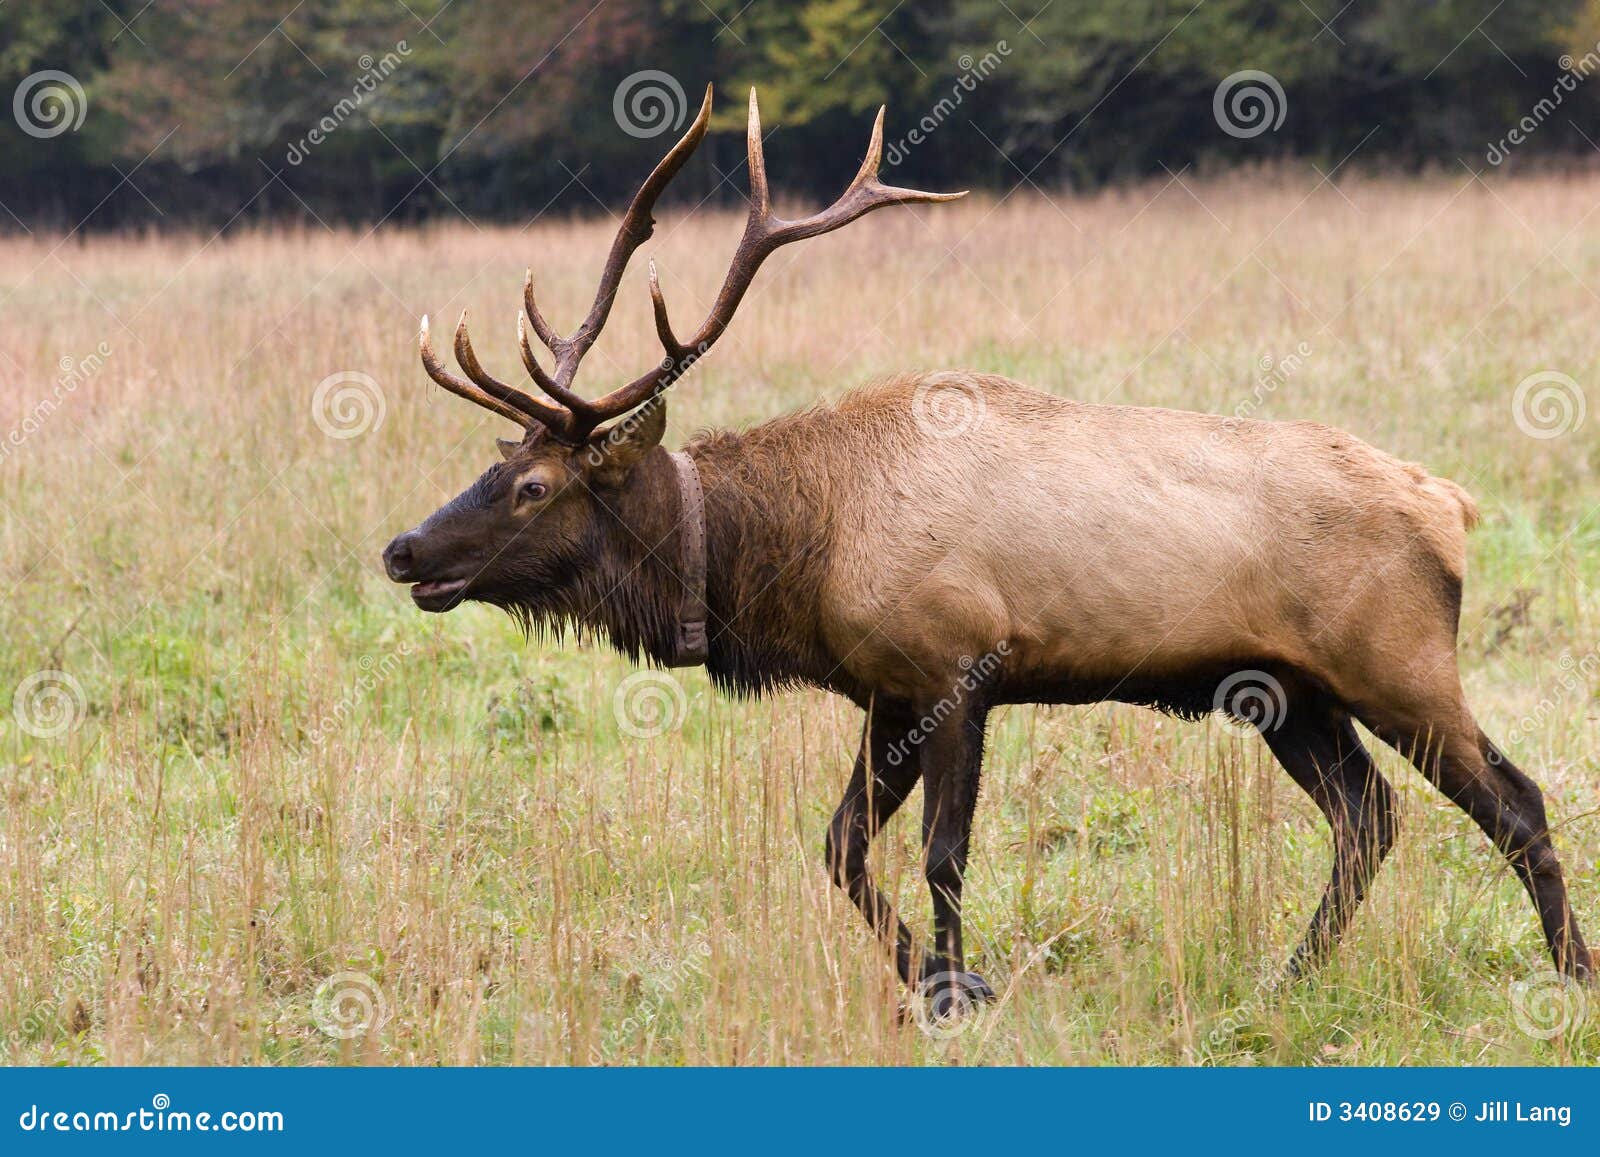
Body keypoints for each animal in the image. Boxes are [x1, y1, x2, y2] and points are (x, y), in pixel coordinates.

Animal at [382, 85, 1593, 1020]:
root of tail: (1451, 502)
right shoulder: (883, 690)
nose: (401, 549)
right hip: (1287, 690)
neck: (797, 556)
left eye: (533, 485)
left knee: (1515, 799)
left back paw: (1567, 976)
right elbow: (839, 847)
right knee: (1367, 817)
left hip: (1396, 661)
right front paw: (935, 980)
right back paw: (1283, 981)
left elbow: (941, 853)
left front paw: (960, 990)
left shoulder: (959, 666)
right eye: (497, 456)